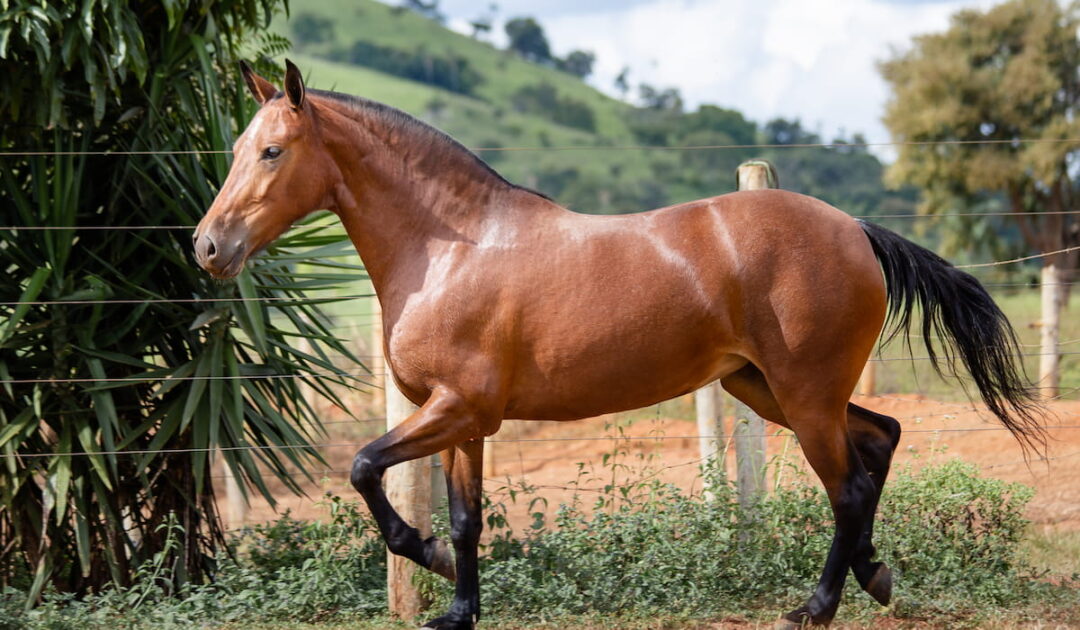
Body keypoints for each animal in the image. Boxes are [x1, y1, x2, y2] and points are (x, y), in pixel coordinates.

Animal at [193, 60, 1043, 628]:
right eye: (237, 149)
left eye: (272, 152)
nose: (208, 247)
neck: (450, 247)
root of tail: (855, 230)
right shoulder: (462, 421)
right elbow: (467, 520)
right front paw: (457, 608)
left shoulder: (452, 410)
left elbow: (366, 468)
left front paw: (422, 552)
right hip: (768, 388)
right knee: (882, 440)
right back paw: (877, 577)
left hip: (804, 398)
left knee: (849, 488)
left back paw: (819, 604)